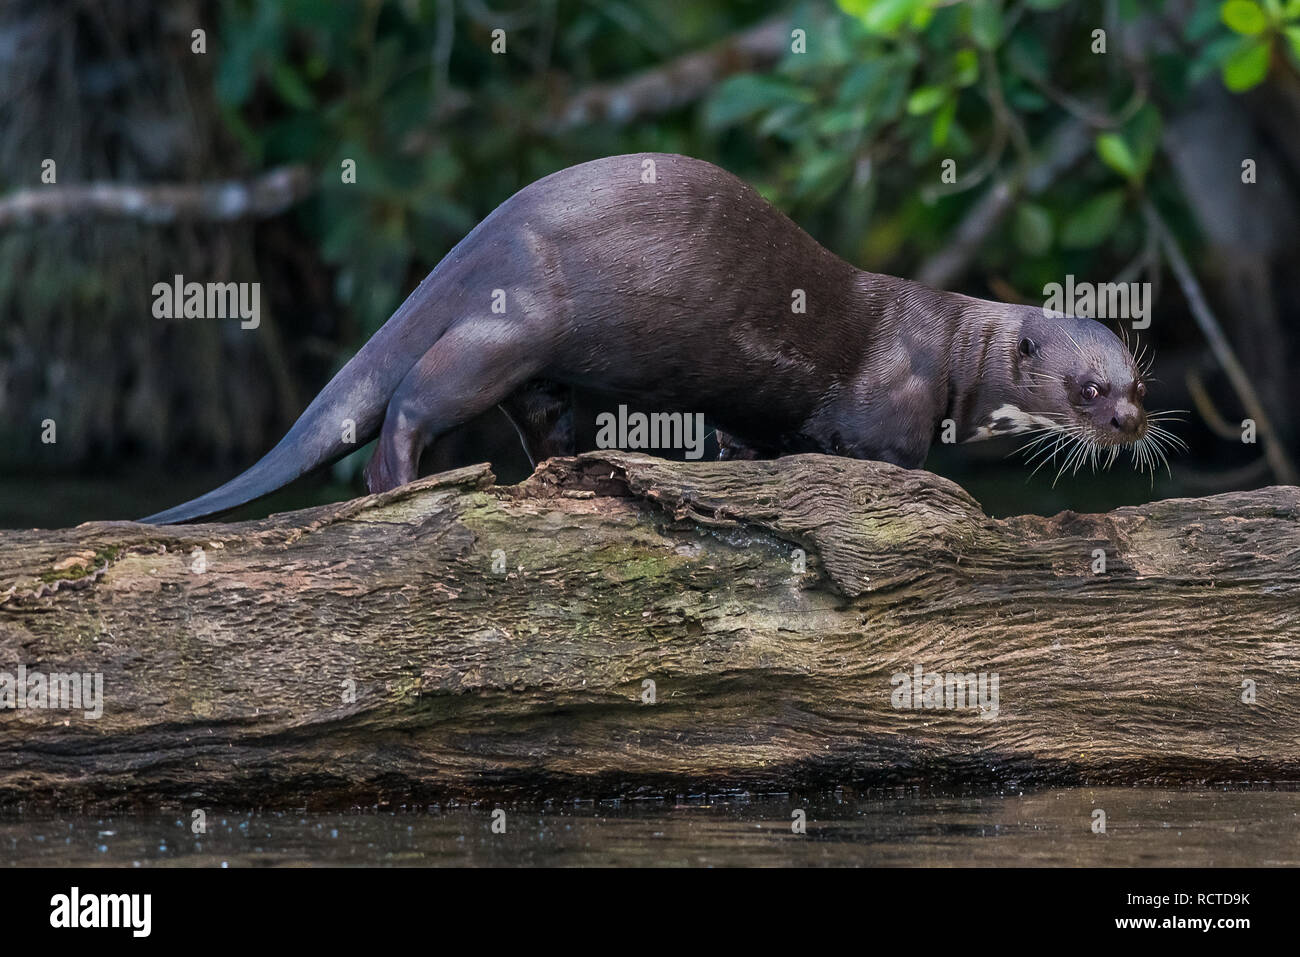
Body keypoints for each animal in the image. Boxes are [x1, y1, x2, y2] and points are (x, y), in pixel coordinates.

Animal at [141, 153, 1173, 525]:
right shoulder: (896, 401)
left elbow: (749, 441)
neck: (950, 346)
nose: (1127, 423)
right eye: (1087, 389)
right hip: (510, 326)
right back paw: (401, 486)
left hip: (542, 371)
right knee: (411, 401)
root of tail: (478, 240)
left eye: (1138, 383)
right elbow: (890, 463)